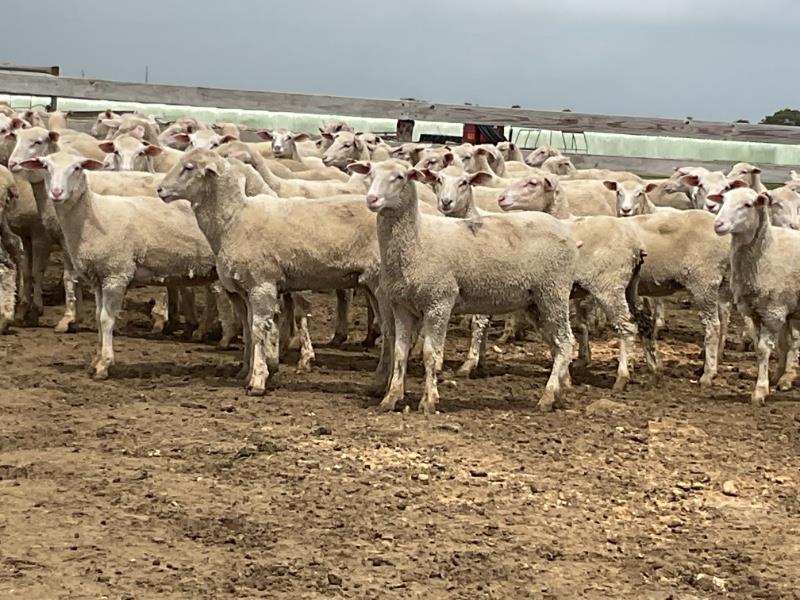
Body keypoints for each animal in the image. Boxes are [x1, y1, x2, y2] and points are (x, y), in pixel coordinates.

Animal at [19, 151, 217, 378]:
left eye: (77, 168)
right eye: (45, 166)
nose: (57, 192)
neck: (93, 215)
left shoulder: (116, 274)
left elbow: (106, 319)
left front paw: (104, 364)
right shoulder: (98, 278)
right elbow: (97, 317)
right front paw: (95, 360)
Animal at [157, 149, 389, 396]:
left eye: (188, 167)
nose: (160, 189)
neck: (234, 219)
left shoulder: (262, 284)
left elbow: (259, 330)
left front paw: (258, 380)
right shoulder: (246, 290)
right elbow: (249, 328)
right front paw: (249, 373)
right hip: (371, 286)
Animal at [346, 159, 578, 413]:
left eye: (400, 177)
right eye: (370, 173)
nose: (372, 199)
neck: (418, 240)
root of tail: (565, 229)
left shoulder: (439, 301)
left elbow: (431, 354)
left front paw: (428, 401)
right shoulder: (402, 305)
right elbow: (400, 351)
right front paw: (391, 398)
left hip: (553, 291)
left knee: (566, 342)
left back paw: (547, 397)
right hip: (535, 301)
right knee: (559, 344)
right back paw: (560, 393)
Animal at [711, 186, 800, 402]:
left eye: (748, 204)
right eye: (723, 200)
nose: (718, 224)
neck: (767, 251)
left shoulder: (773, 310)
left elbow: (764, 349)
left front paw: (760, 391)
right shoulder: (757, 312)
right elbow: (768, 348)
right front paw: (770, 381)